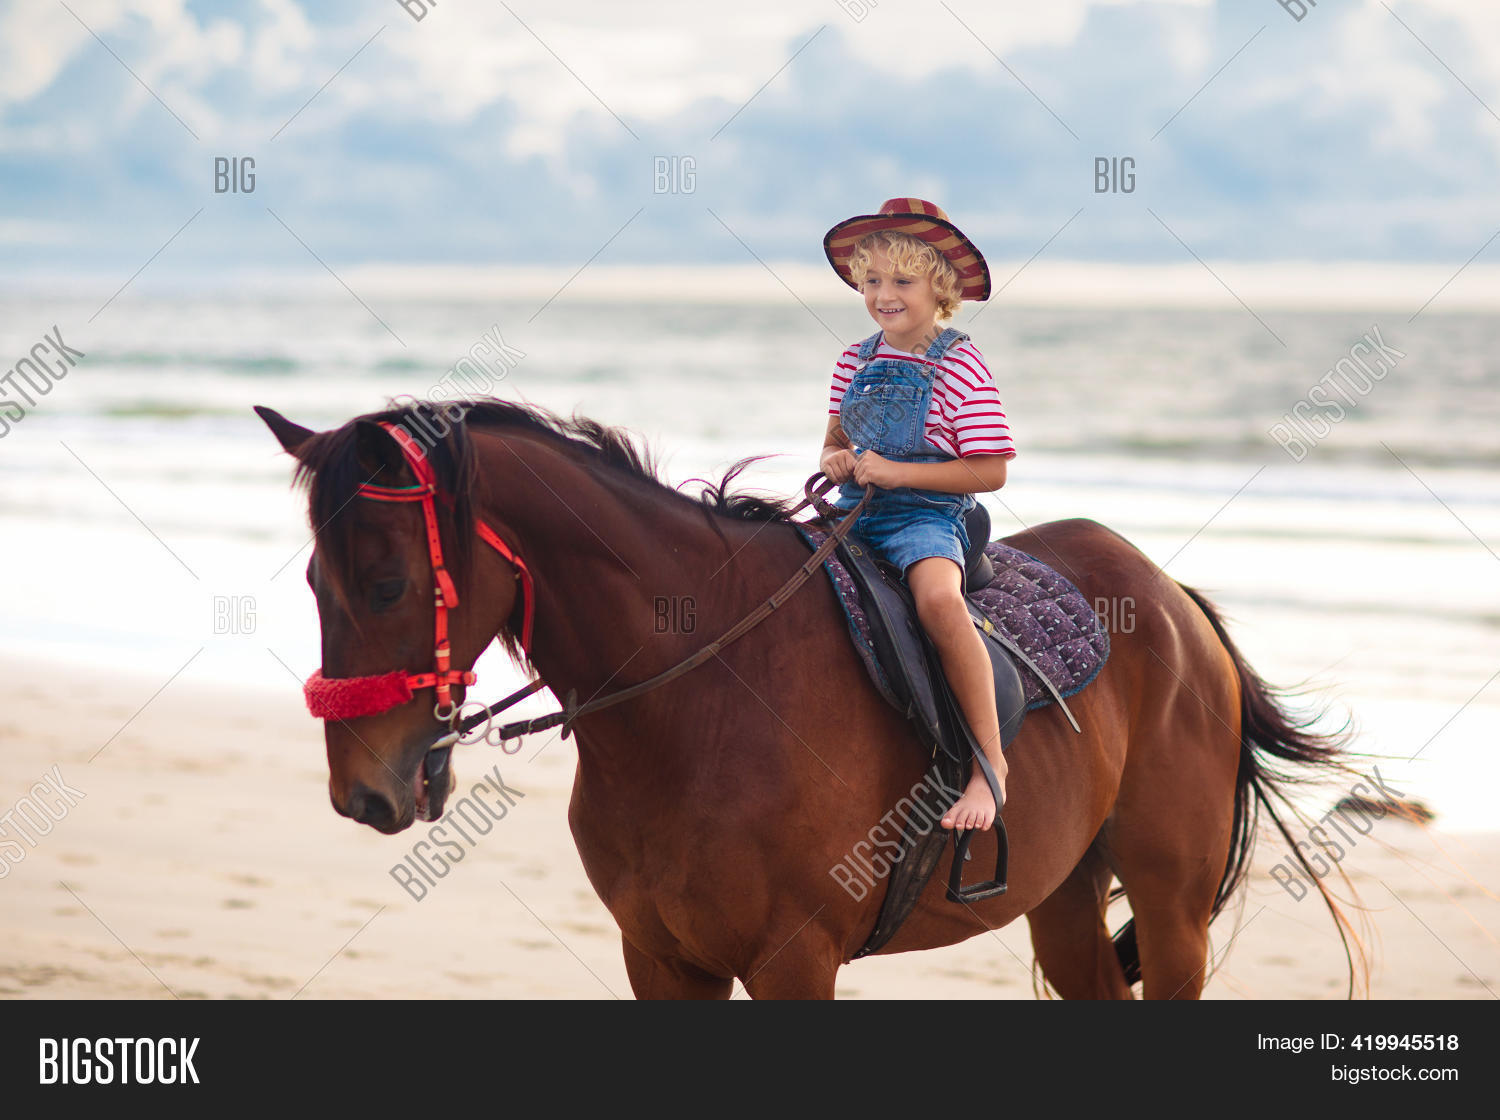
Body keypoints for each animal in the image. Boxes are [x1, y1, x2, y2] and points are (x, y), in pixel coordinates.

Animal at [256, 397, 1362, 999]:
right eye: (313, 582)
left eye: (387, 585)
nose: (363, 792)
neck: (699, 703)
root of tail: (1173, 603)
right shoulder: (661, 958)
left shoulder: (794, 960)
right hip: (1062, 892)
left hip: (1172, 910)